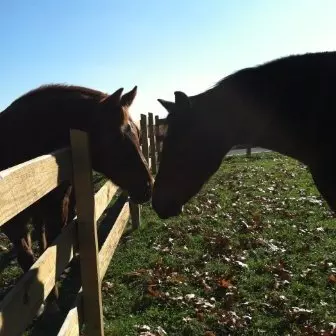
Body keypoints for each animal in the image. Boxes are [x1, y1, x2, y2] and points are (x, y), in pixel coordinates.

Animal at [0, 83, 153, 312]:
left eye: (139, 134)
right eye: (117, 137)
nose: (148, 187)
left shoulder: (57, 208)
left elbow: (52, 253)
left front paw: (52, 296)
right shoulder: (13, 223)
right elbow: (28, 258)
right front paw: (45, 303)